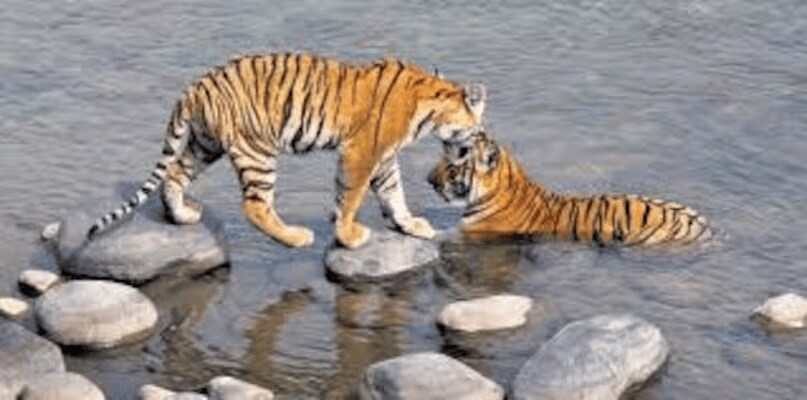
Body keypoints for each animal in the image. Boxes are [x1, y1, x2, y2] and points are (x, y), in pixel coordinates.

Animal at [86, 52, 487, 249]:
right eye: (477, 129)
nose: (469, 150)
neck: (429, 106)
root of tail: (195, 87)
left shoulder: (384, 157)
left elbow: (394, 193)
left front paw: (411, 225)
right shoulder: (362, 153)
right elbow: (352, 196)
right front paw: (349, 236)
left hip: (204, 144)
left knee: (173, 172)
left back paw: (182, 215)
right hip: (258, 152)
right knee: (255, 207)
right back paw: (295, 238)